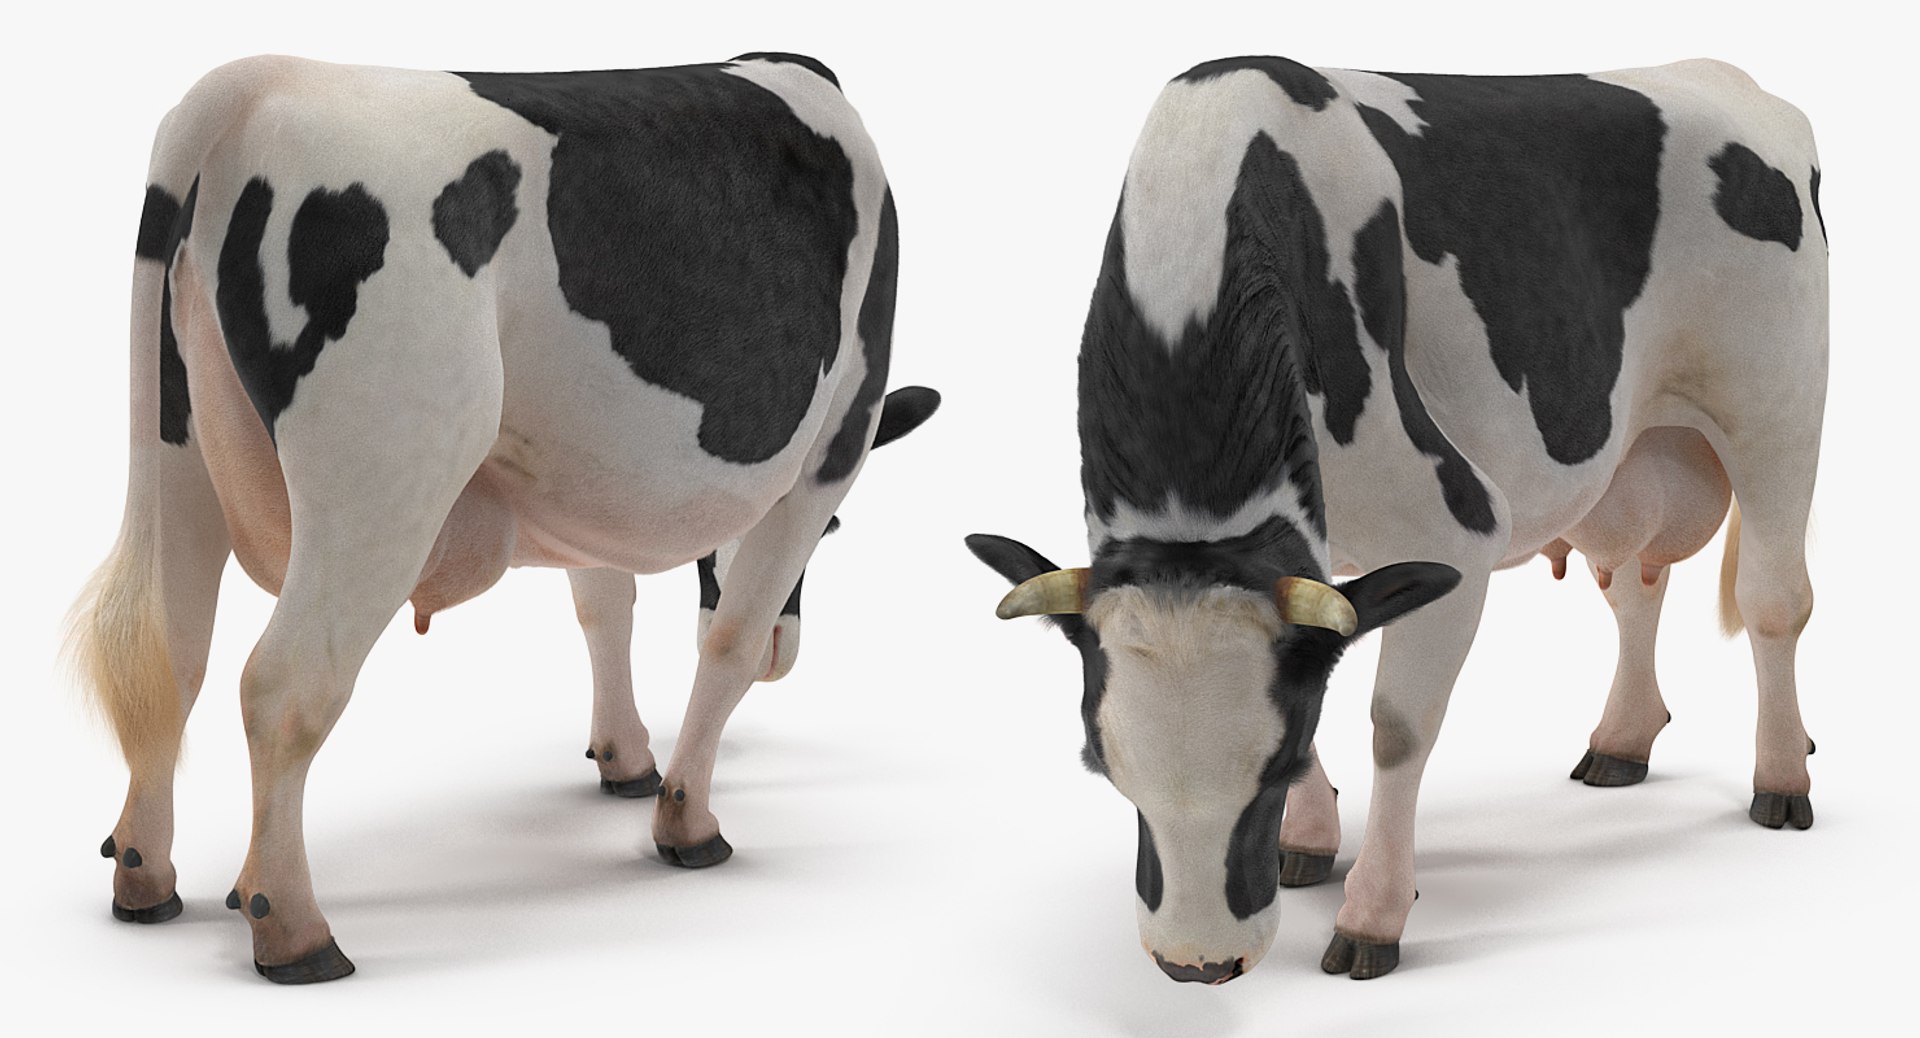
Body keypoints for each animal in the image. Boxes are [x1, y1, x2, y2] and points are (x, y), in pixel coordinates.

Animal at [68, 52, 917, 984]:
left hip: (180, 452)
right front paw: (687, 818)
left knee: (172, 658)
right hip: (383, 482)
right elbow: (725, 640)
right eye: (832, 537)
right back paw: (292, 926)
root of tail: (256, 82)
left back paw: (146, 875)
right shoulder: (831, 446)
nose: (784, 658)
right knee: (284, 685)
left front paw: (626, 759)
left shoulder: (591, 475)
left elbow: (603, 604)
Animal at [968, 57, 1825, 984]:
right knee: (1636, 579)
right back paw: (1622, 744)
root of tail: (1722, 76)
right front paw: (1308, 844)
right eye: (1105, 768)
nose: (1197, 965)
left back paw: (1782, 778)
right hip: (1633, 455)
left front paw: (1372, 915)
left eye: (1273, 769)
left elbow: (1396, 728)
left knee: (1774, 600)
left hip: (1777, 411)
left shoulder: (1453, 524)